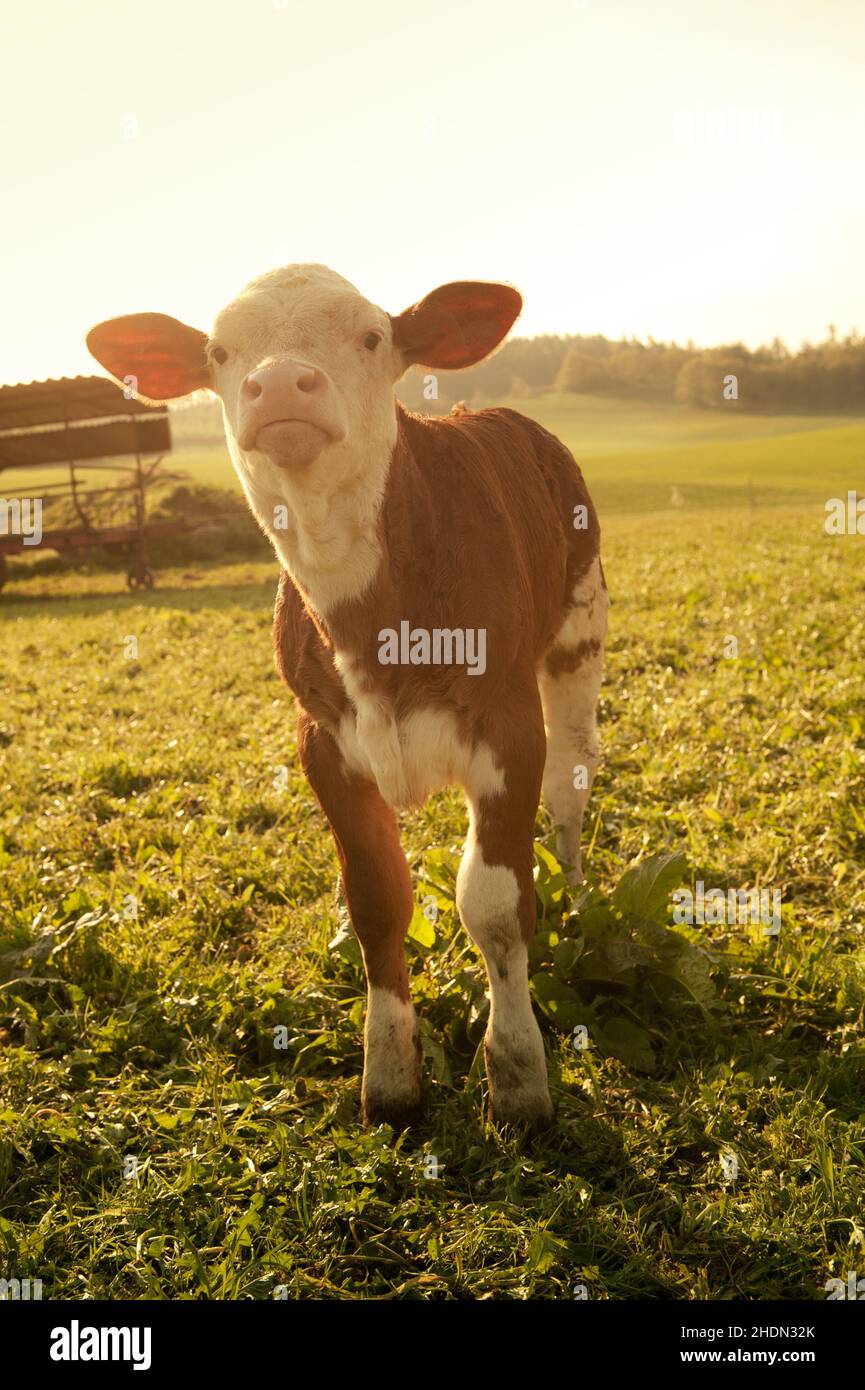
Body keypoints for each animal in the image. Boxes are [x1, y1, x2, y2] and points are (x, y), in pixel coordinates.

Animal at [86, 265, 607, 1130]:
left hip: (578, 635)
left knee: (572, 784)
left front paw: (518, 1074)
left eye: (370, 336)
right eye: (219, 351)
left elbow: (494, 905)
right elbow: (376, 899)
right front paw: (389, 1074)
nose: (278, 383)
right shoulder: (323, 742)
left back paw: (569, 885)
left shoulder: (507, 724)